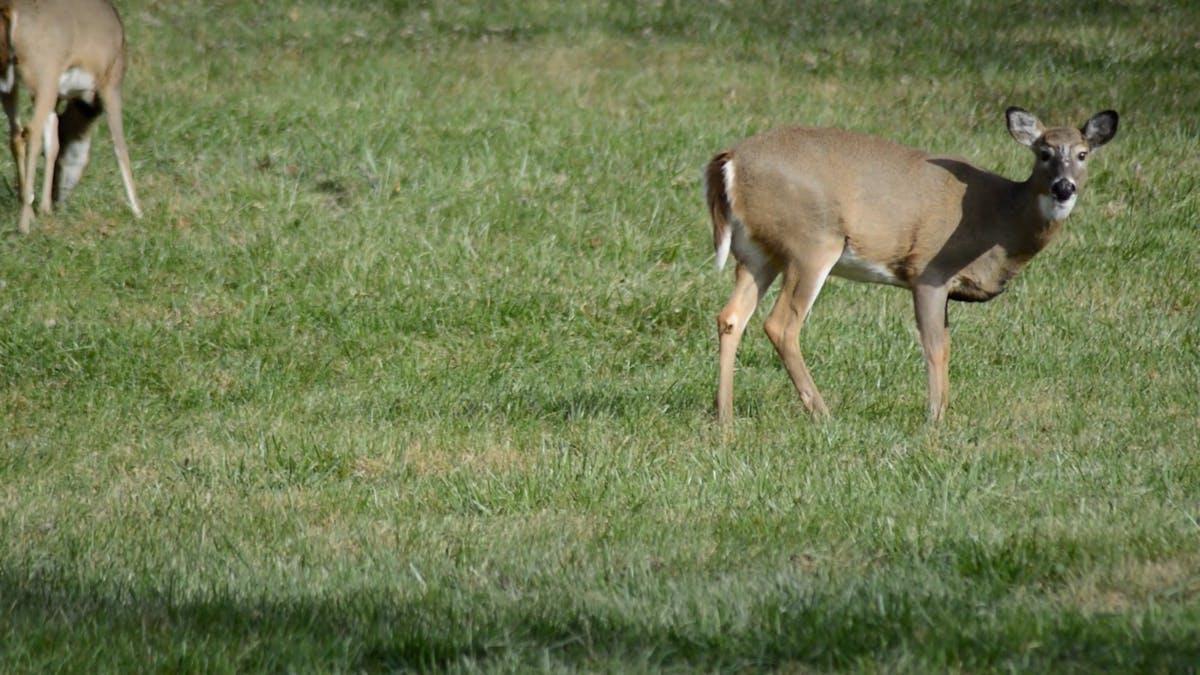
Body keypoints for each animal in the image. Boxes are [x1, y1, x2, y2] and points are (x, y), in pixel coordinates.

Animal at [0, 0, 141, 234]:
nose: (59, 198)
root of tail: (10, 11)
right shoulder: (111, 83)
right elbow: (120, 147)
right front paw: (139, 211)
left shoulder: (56, 96)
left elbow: (53, 143)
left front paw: (45, 208)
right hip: (45, 76)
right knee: (31, 131)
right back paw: (24, 223)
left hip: (9, 82)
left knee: (16, 134)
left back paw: (28, 206)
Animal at [706, 107, 1119, 425]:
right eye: (1043, 153)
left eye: (1083, 154)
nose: (1063, 187)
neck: (1001, 218)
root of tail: (730, 160)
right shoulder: (930, 272)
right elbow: (935, 347)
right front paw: (935, 418)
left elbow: (945, 345)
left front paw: (942, 412)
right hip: (812, 244)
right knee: (781, 325)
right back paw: (823, 414)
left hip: (759, 252)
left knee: (731, 316)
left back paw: (725, 416)